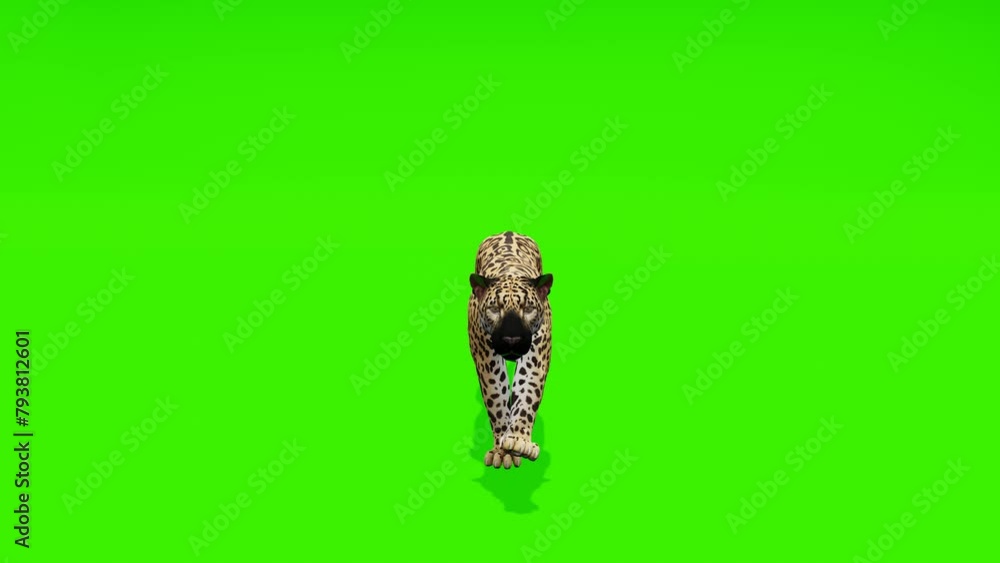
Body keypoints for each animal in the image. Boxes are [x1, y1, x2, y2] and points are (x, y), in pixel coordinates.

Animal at [468, 231, 553, 470]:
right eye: (494, 308)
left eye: (529, 308)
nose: (512, 340)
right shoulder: (487, 358)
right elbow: (496, 399)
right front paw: (502, 451)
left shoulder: (536, 355)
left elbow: (526, 394)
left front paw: (518, 440)